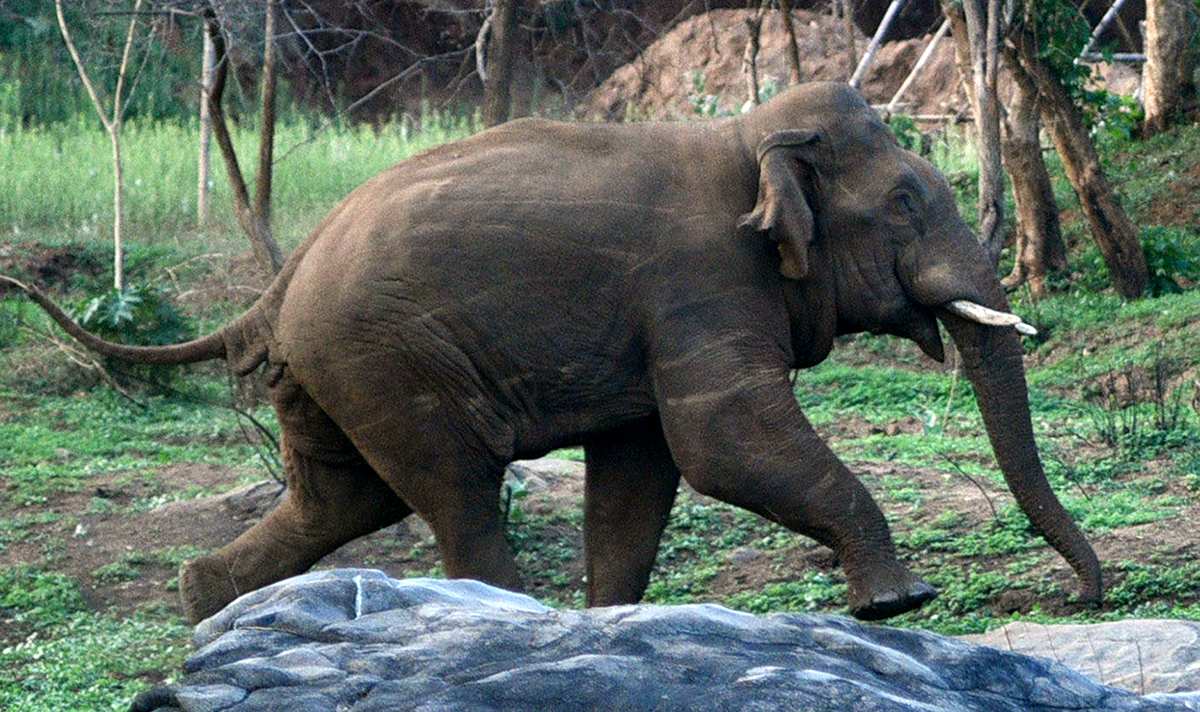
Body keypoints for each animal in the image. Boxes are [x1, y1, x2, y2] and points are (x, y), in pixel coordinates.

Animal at [3, 82, 1103, 625]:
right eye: (909, 203)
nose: (1083, 596)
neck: (745, 138)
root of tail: (285, 275)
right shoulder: (701, 278)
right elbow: (720, 440)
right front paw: (898, 604)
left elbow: (642, 468)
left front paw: (612, 627)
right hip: (389, 364)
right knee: (448, 489)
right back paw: (499, 613)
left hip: (331, 374)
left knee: (343, 500)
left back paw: (203, 605)